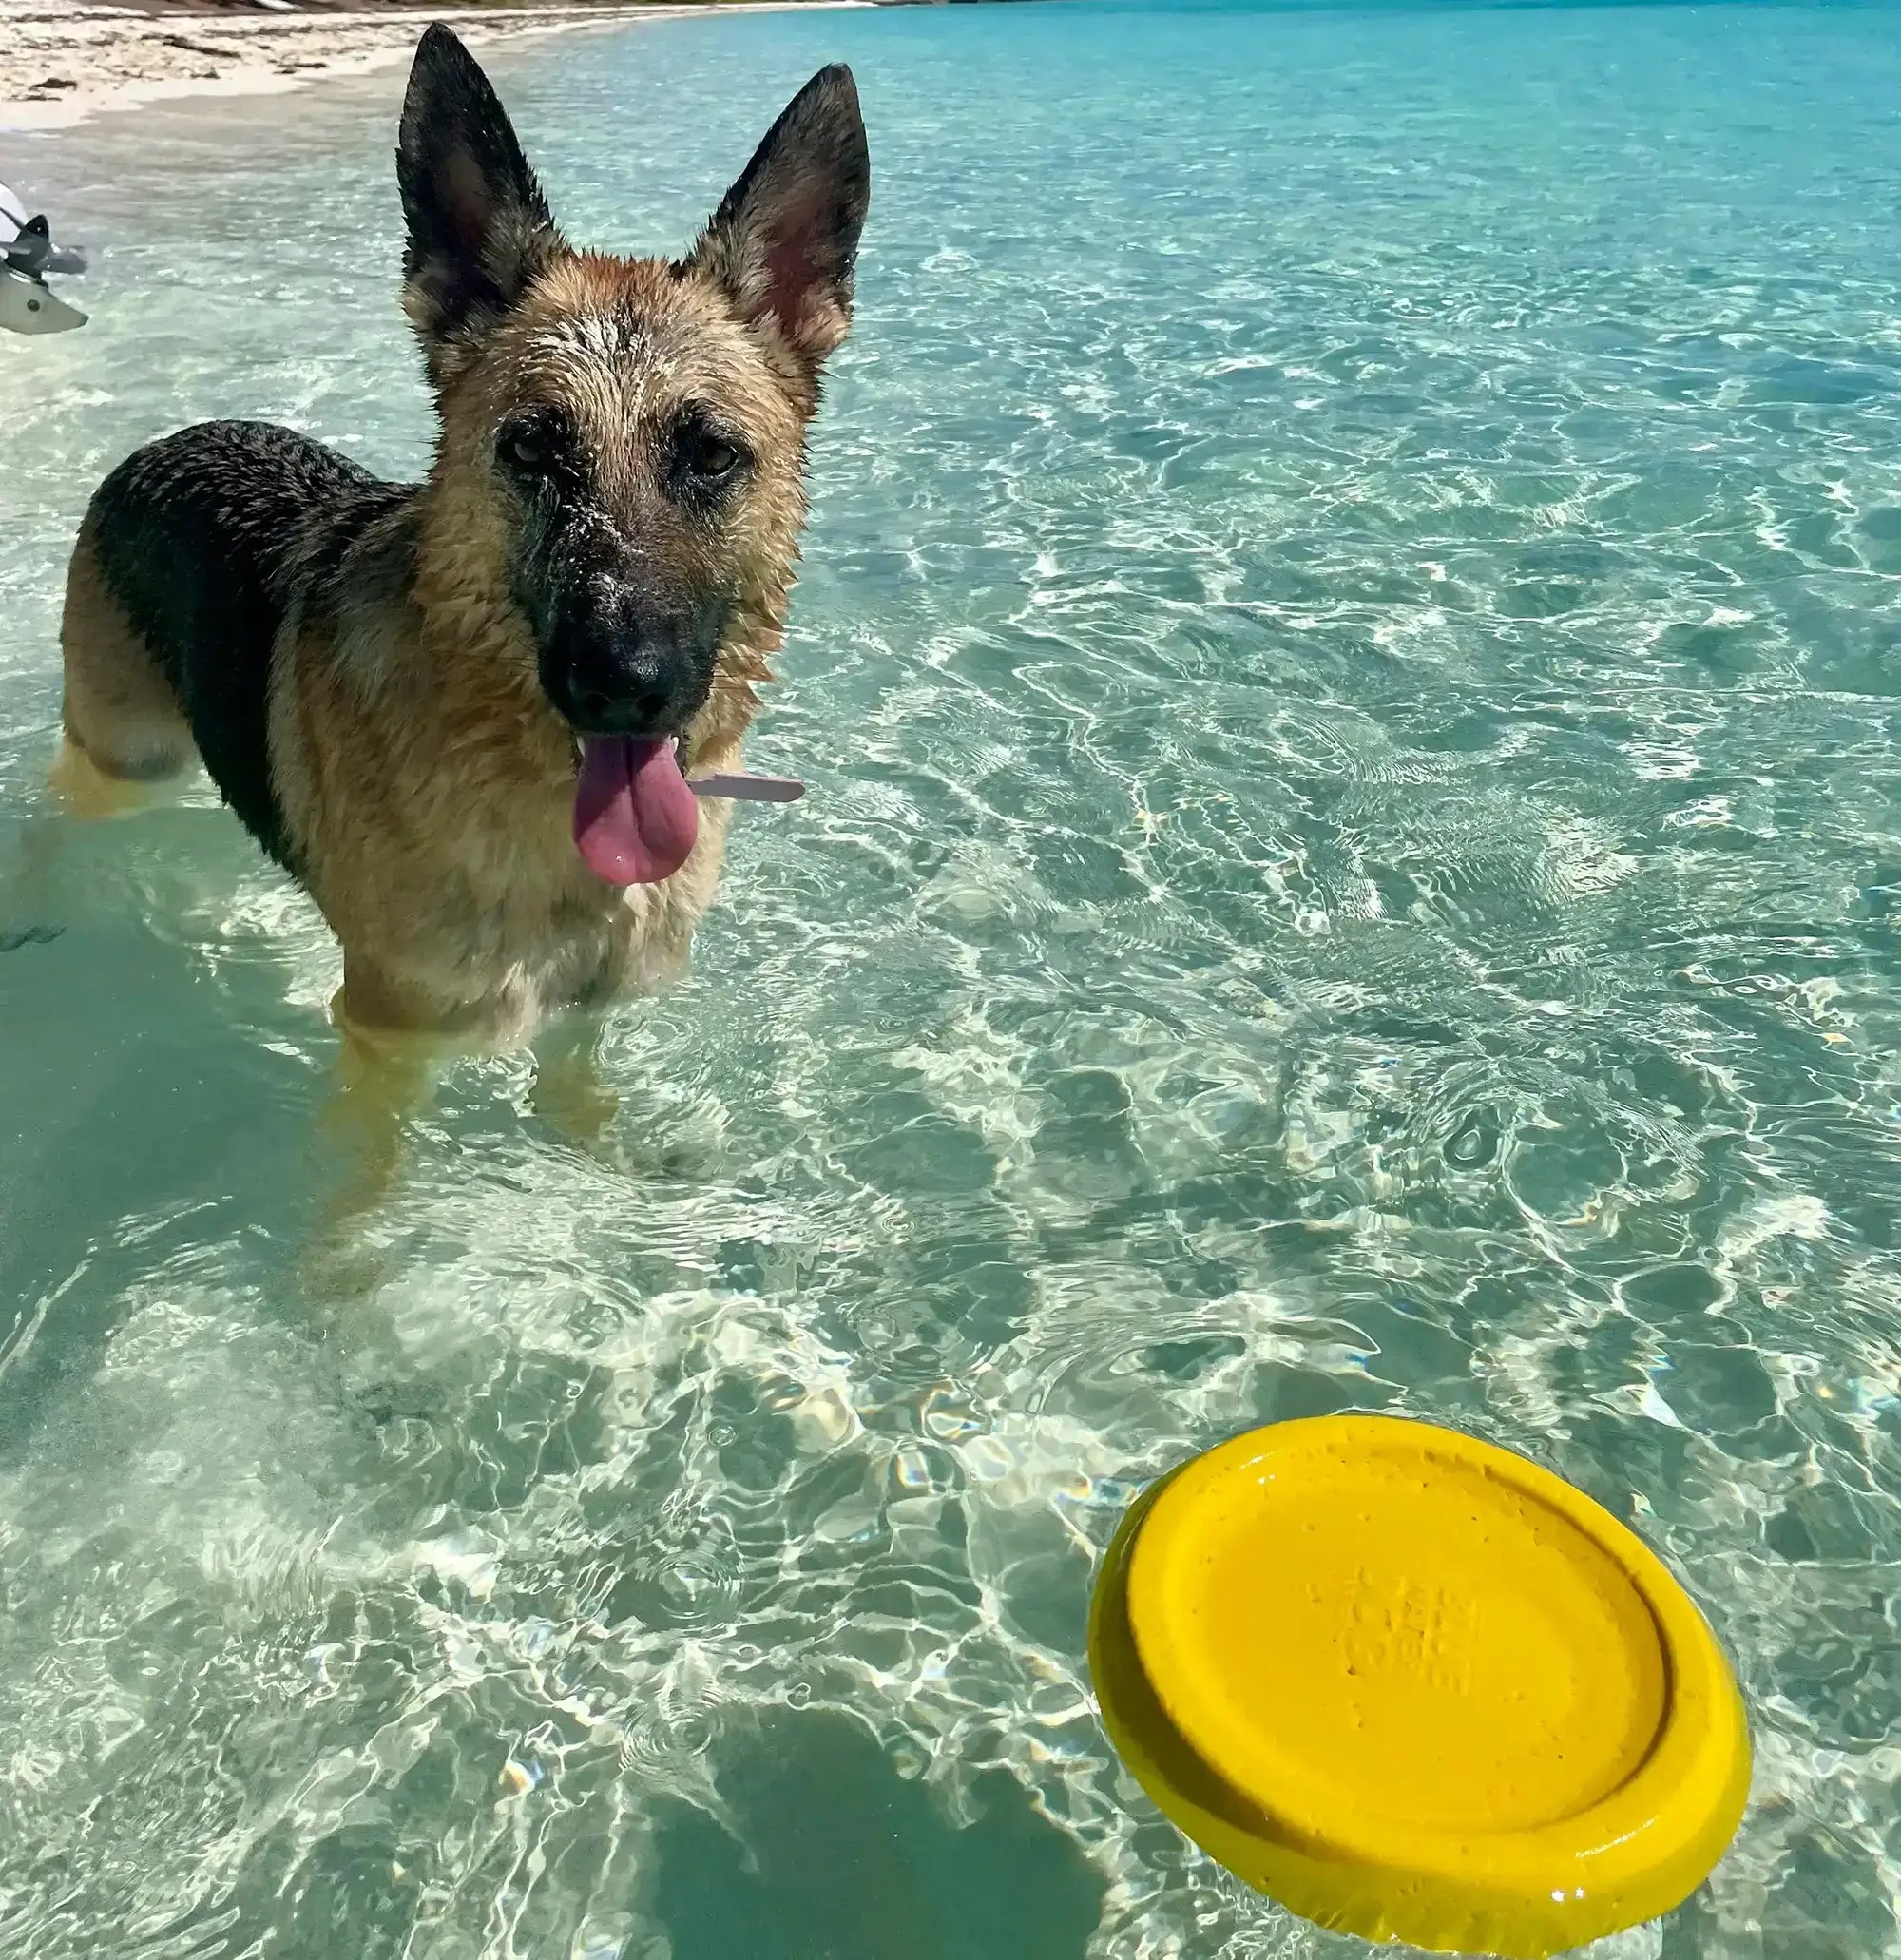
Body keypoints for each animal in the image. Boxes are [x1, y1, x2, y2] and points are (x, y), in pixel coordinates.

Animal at [59, 19, 870, 1058]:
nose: (623, 688)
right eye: (530, 450)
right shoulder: (388, 1038)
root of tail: (162, 443)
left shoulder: (582, 1027)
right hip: (123, 759)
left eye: (710, 456)